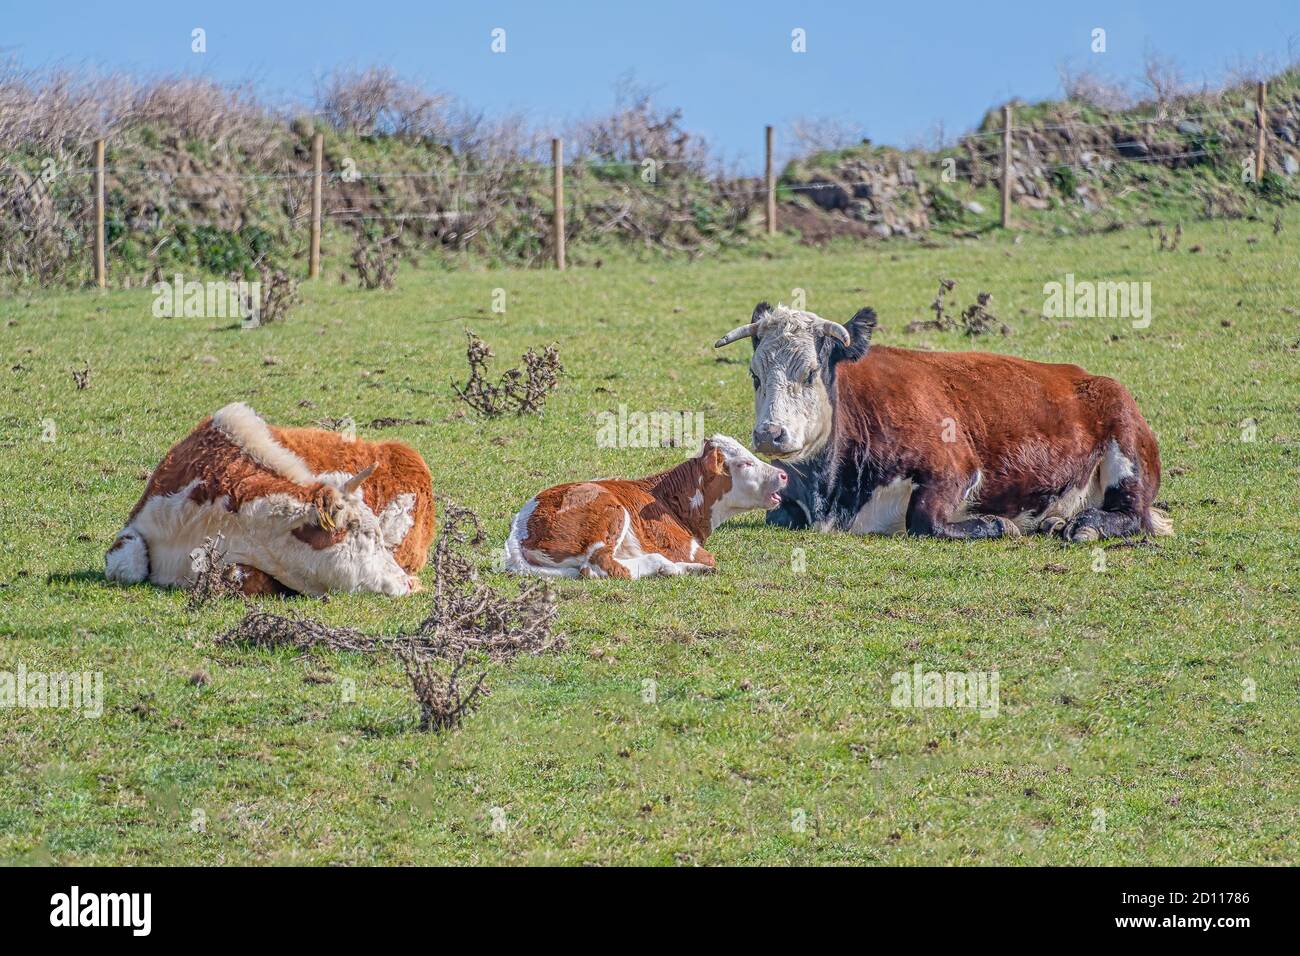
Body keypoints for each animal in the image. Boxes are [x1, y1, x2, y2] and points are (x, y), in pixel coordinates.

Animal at [502, 435, 787, 579]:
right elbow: (710, 558)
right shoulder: (685, 547)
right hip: (610, 513)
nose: (783, 474)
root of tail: (520, 527)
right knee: (601, 567)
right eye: (744, 463)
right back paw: (668, 567)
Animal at [714, 303, 1172, 542]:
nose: (770, 434)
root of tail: (1091, 378)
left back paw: (1083, 526)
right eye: (754, 375)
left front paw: (997, 523)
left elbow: (925, 520)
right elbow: (778, 515)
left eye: (810, 372)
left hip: (1127, 453)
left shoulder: (956, 468)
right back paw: (1057, 520)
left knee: (1133, 513)